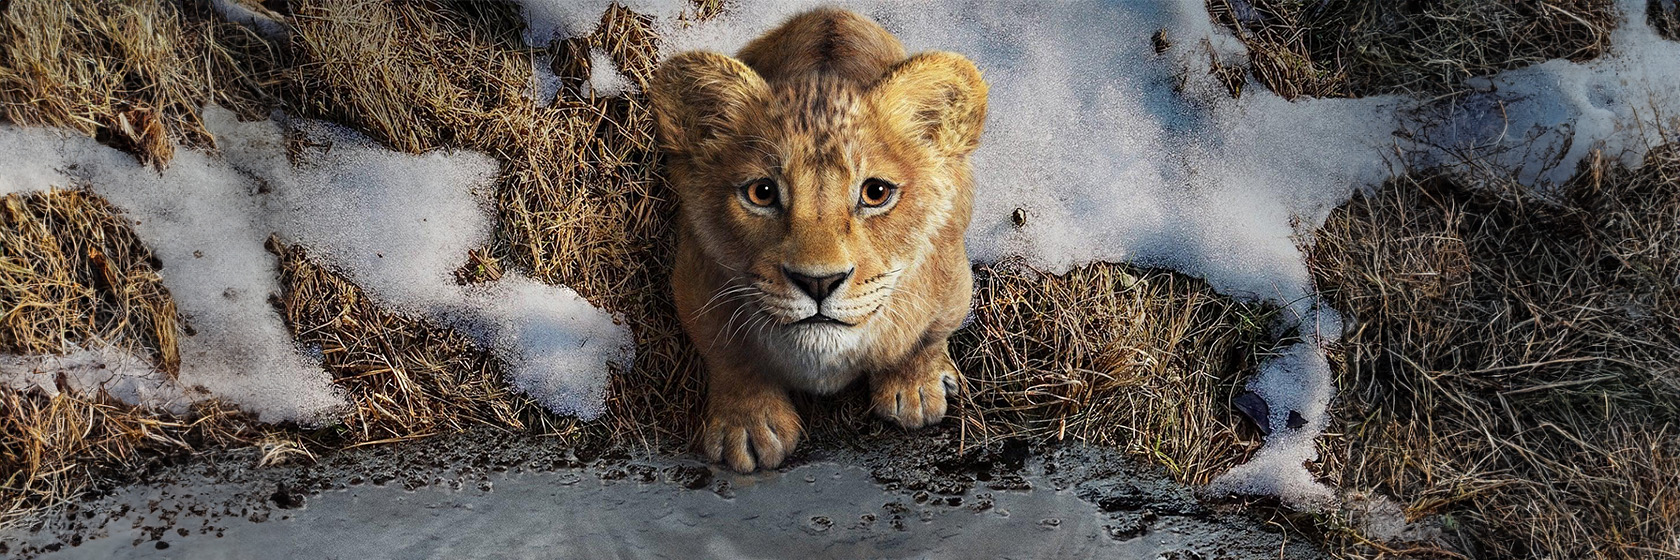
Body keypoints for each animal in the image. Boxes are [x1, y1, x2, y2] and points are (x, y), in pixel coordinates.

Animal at [649, 8, 987, 472]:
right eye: (762, 193)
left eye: (876, 192)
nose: (818, 282)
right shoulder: (694, 281)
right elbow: (729, 355)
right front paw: (748, 426)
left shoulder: (952, 280)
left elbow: (926, 337)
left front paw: (915, 389)